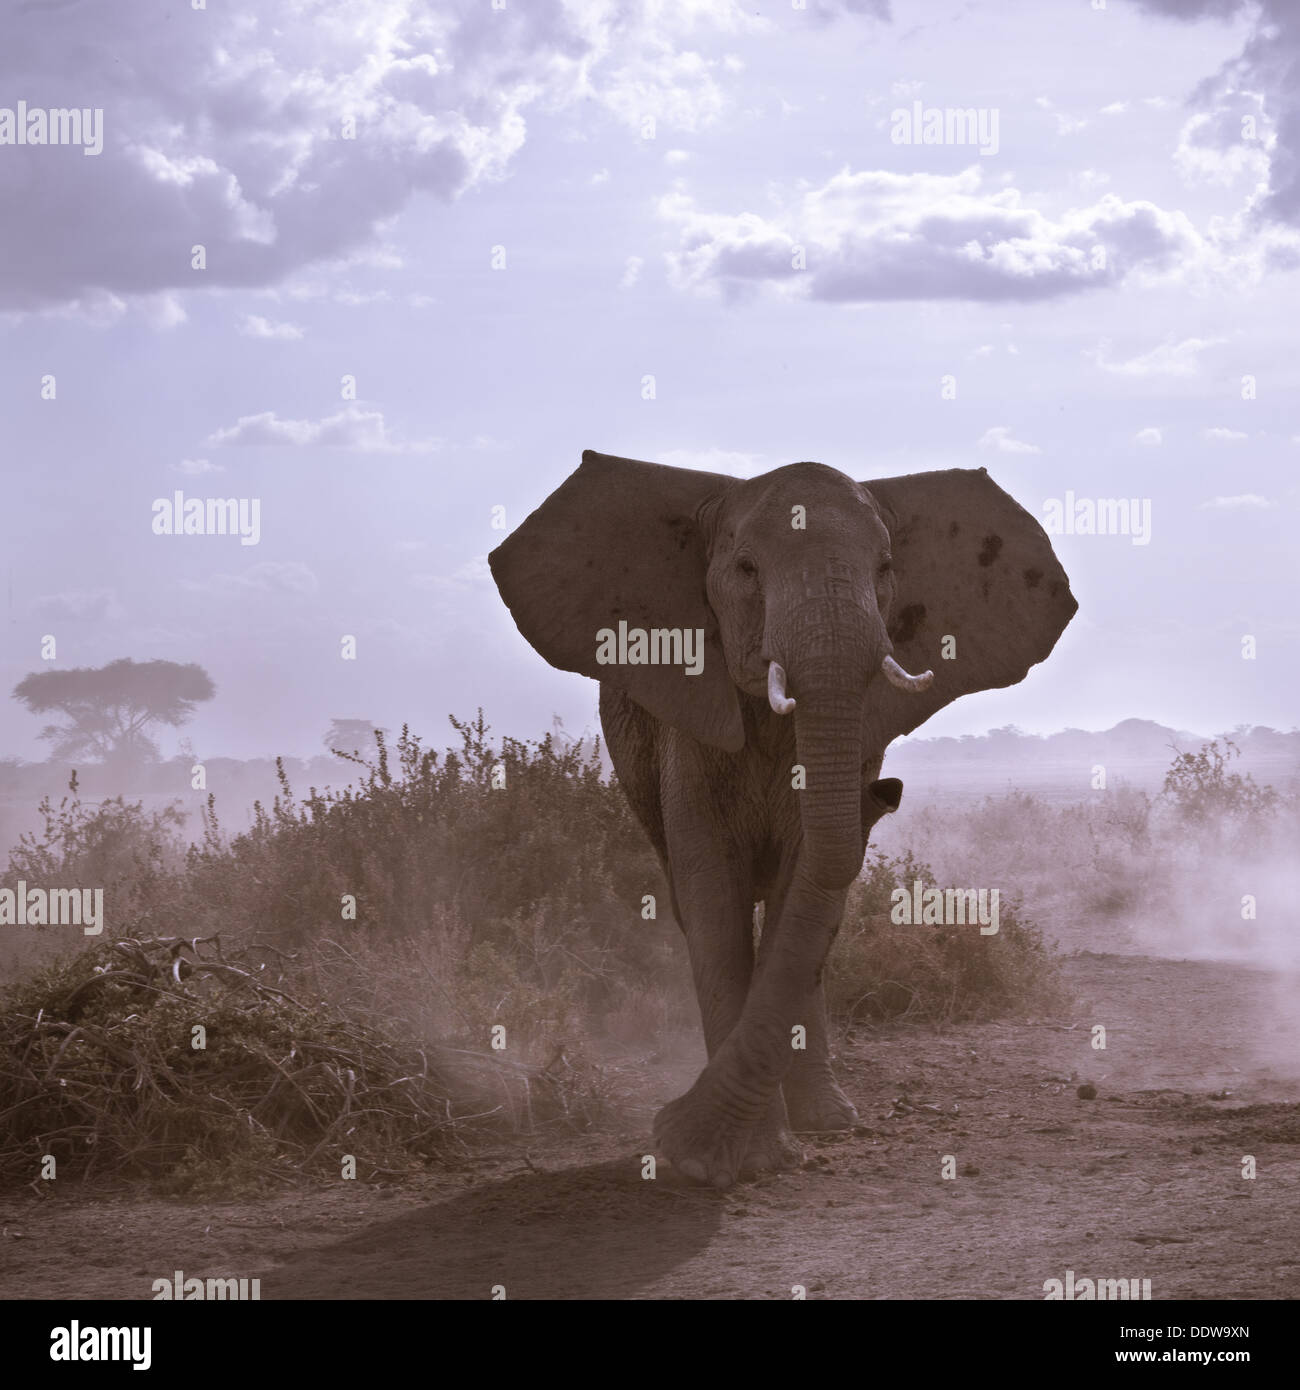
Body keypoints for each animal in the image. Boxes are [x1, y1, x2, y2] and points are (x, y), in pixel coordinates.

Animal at [489, 449, 1076, 1188]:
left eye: (886, 569)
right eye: (745, 570)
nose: (886, 791)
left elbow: (807, 884)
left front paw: (730, 1146)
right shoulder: (690, 707)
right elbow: (712, 885)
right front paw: (718, 1159)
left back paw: (829, 1120)